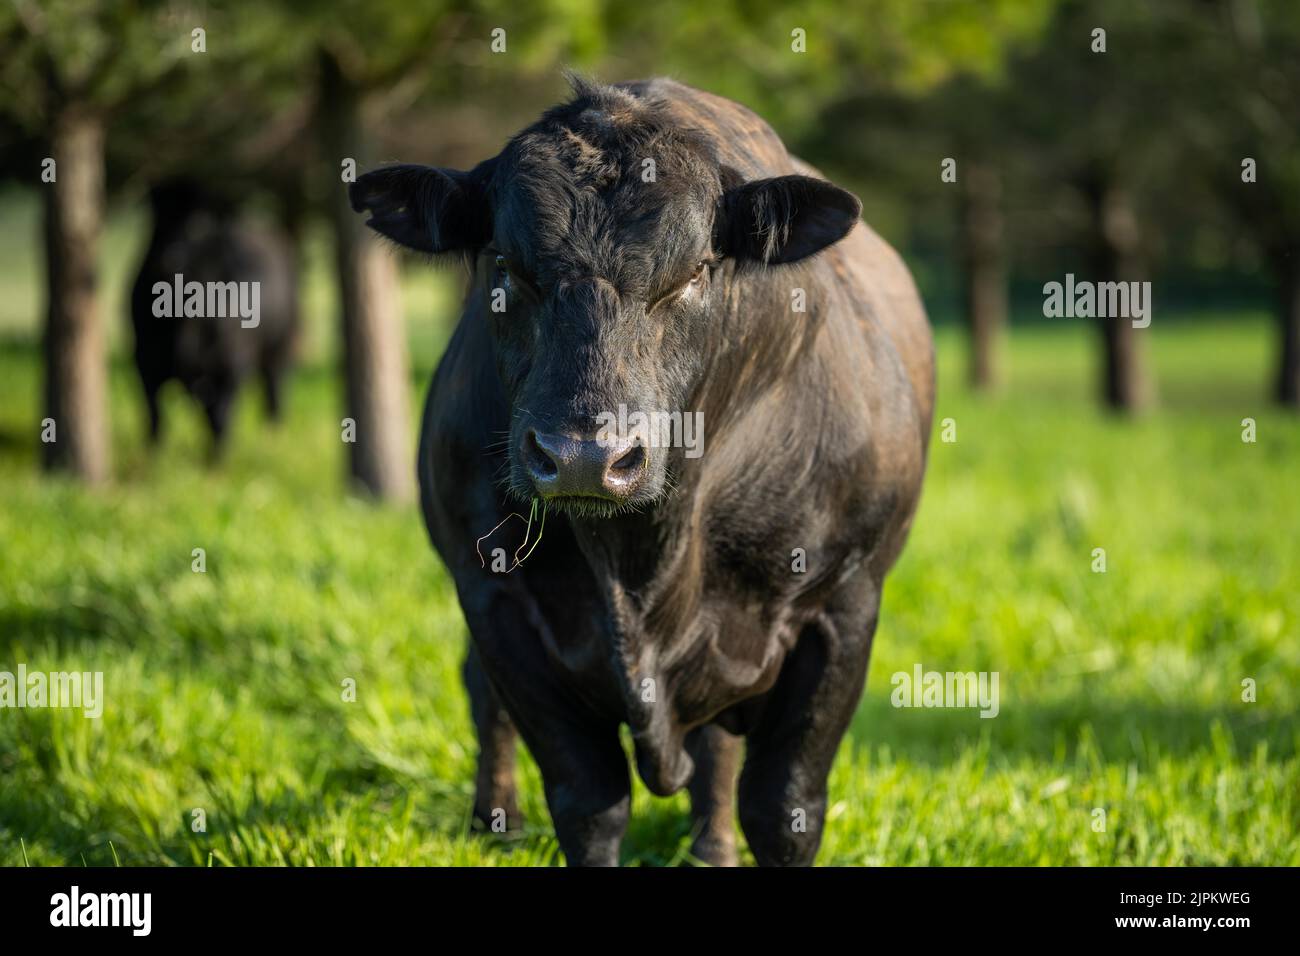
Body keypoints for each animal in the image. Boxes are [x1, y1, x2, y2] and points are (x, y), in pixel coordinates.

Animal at [130, 180, 299, 453]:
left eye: (199, 225)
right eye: (158, 220)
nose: (170, 258)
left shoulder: (230, 367)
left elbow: (219, 419)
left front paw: (216, 461)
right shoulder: (145, 360)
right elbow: (154, 416)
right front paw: (153, 456)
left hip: (280, 346)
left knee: (274, 389)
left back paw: (272, 436)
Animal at [350, 76, 934, 866]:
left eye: (693, 273)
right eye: (505, 267)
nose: (584, 457)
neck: (642, 566)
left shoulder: (844, 605)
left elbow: (784, 808)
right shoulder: (496, 601)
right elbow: (588, 801)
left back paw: (711, 847)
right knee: (482, 695)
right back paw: (494, 818)